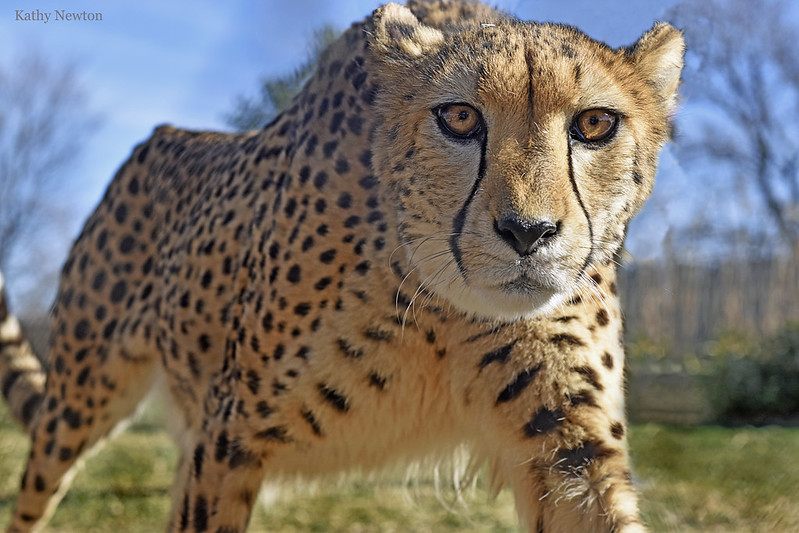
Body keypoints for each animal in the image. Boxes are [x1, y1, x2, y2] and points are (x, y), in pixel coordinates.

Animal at [0, 1, 683, 531]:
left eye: (594, 123)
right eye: (459, 116)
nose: (527, 232)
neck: (436, 303)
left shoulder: (569, 447)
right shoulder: (227, 441)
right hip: (78, 404)